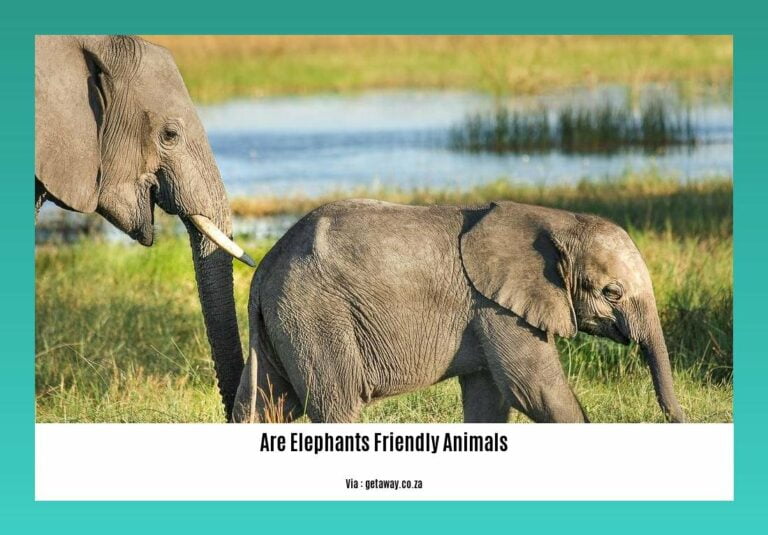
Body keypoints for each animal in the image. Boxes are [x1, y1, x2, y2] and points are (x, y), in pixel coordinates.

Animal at [232, 199, 686, 423]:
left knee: (264, 405)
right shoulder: (496, 307)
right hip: (317, 318)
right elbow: (535, 390)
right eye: (613, 293)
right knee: (337, 407)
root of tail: (265, 266)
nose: (678, 418)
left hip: (286, 318)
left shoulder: (489, 312)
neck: (554, 219)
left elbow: (491, 399)